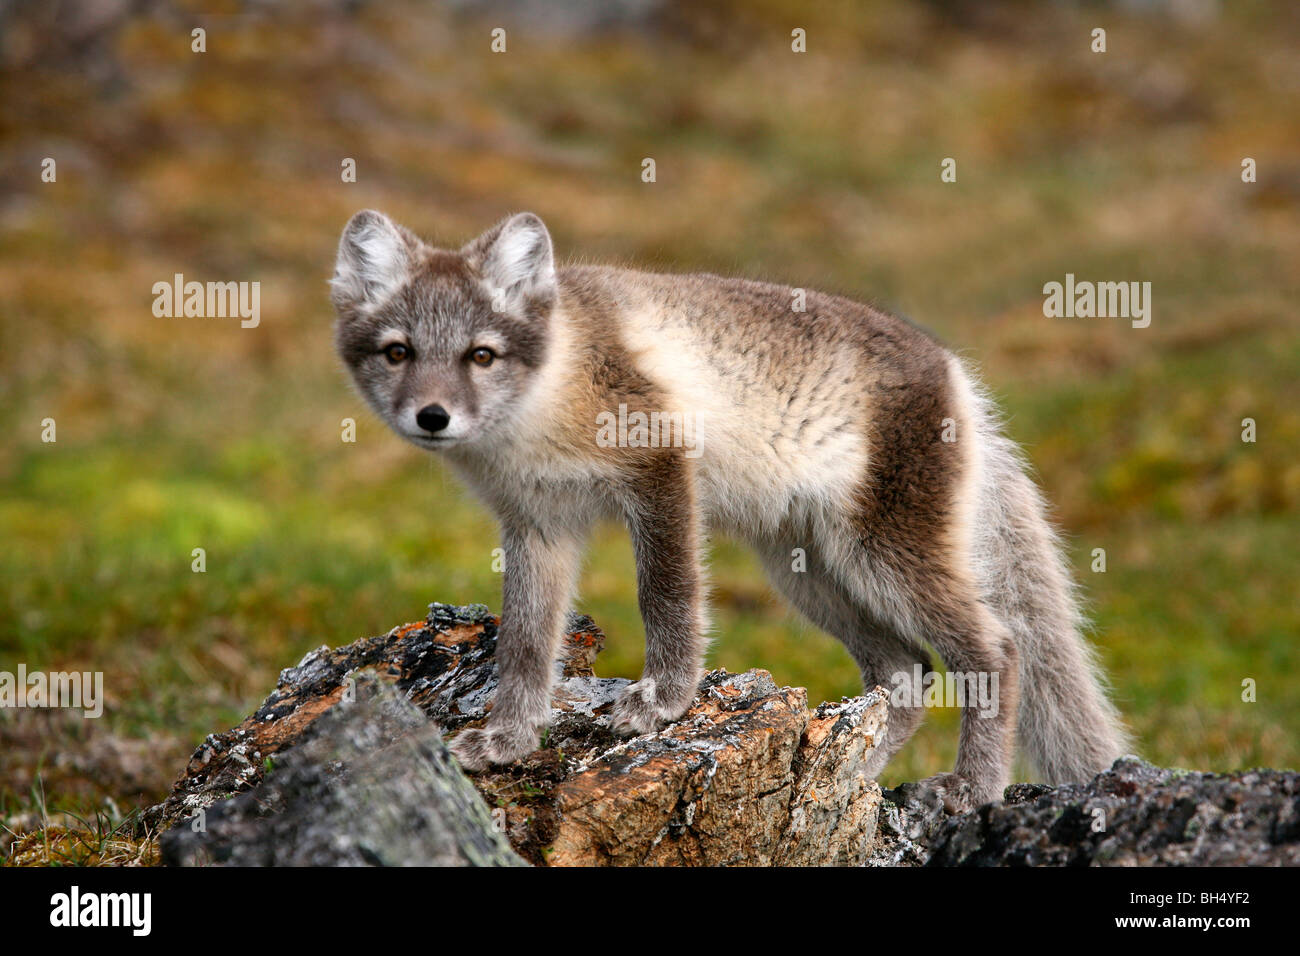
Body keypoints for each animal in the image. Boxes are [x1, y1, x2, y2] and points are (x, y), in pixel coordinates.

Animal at [330, 209, 1130, 807]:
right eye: (398, 352)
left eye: (481, 355)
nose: (432, 417)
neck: (546, 394)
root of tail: (958, 373)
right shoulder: (537, 526)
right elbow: (526, 646)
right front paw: (508, 741)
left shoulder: (661, 465)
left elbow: (667, 595)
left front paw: (662, 702)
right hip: (807, 573)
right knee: (906, 674)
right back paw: (845, 785)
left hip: (881, 557)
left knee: (996, 649)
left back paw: (972, 788)